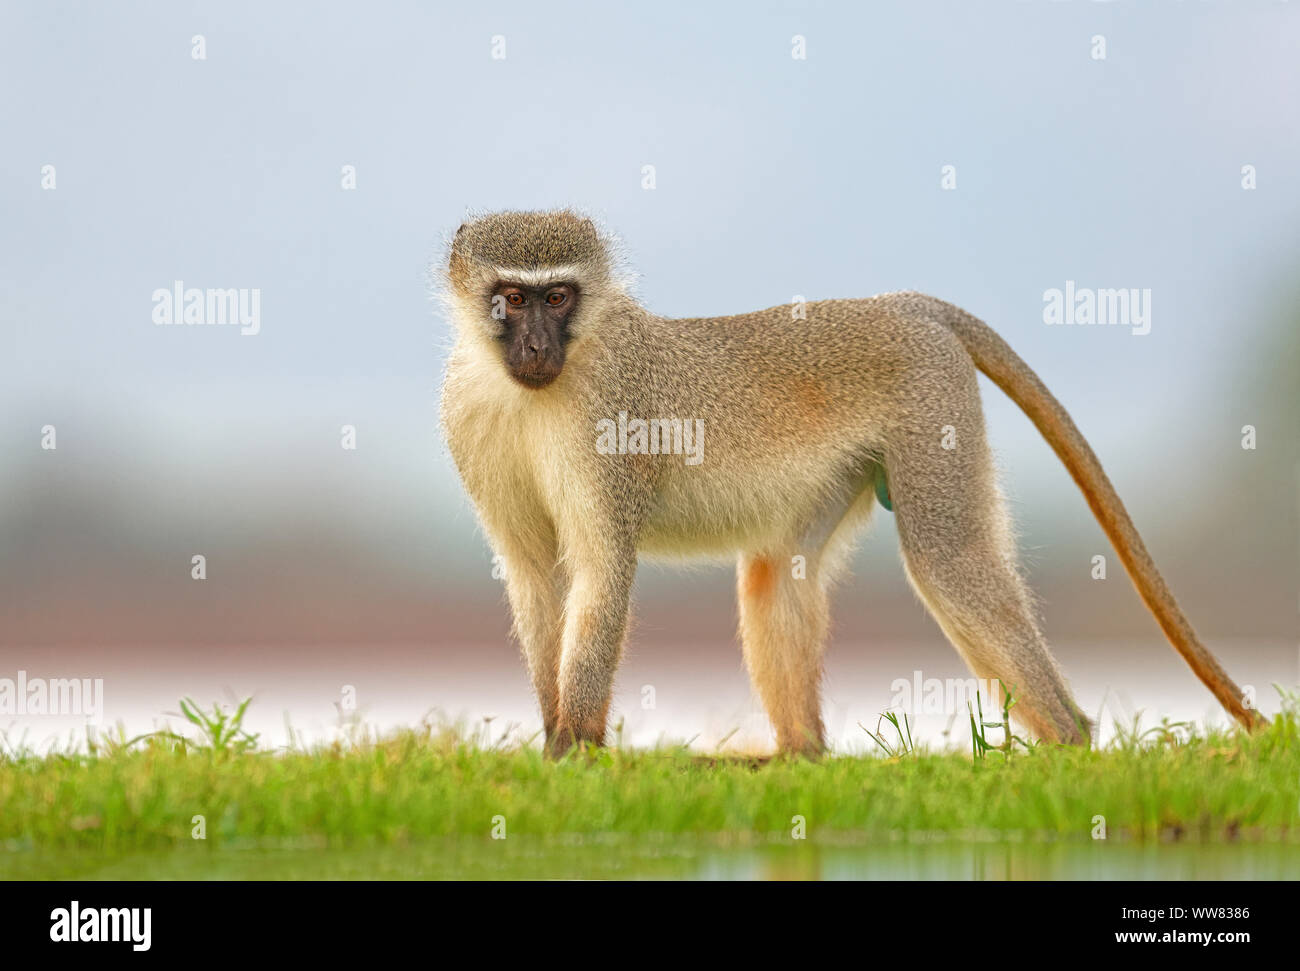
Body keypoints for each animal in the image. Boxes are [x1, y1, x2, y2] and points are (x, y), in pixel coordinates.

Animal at [438, 208, 1264, 758]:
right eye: (512, 297)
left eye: (558, 297)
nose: (536, 346)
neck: (534, 388)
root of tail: (903, 303)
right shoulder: (468, 420)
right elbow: (534, 572)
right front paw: (555, 737)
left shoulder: (610, 413)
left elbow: (603, 567)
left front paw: (573, 749)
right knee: (777, 571)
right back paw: (797, 756)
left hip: (933, 405)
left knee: (949, 560)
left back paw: (1067, 740)